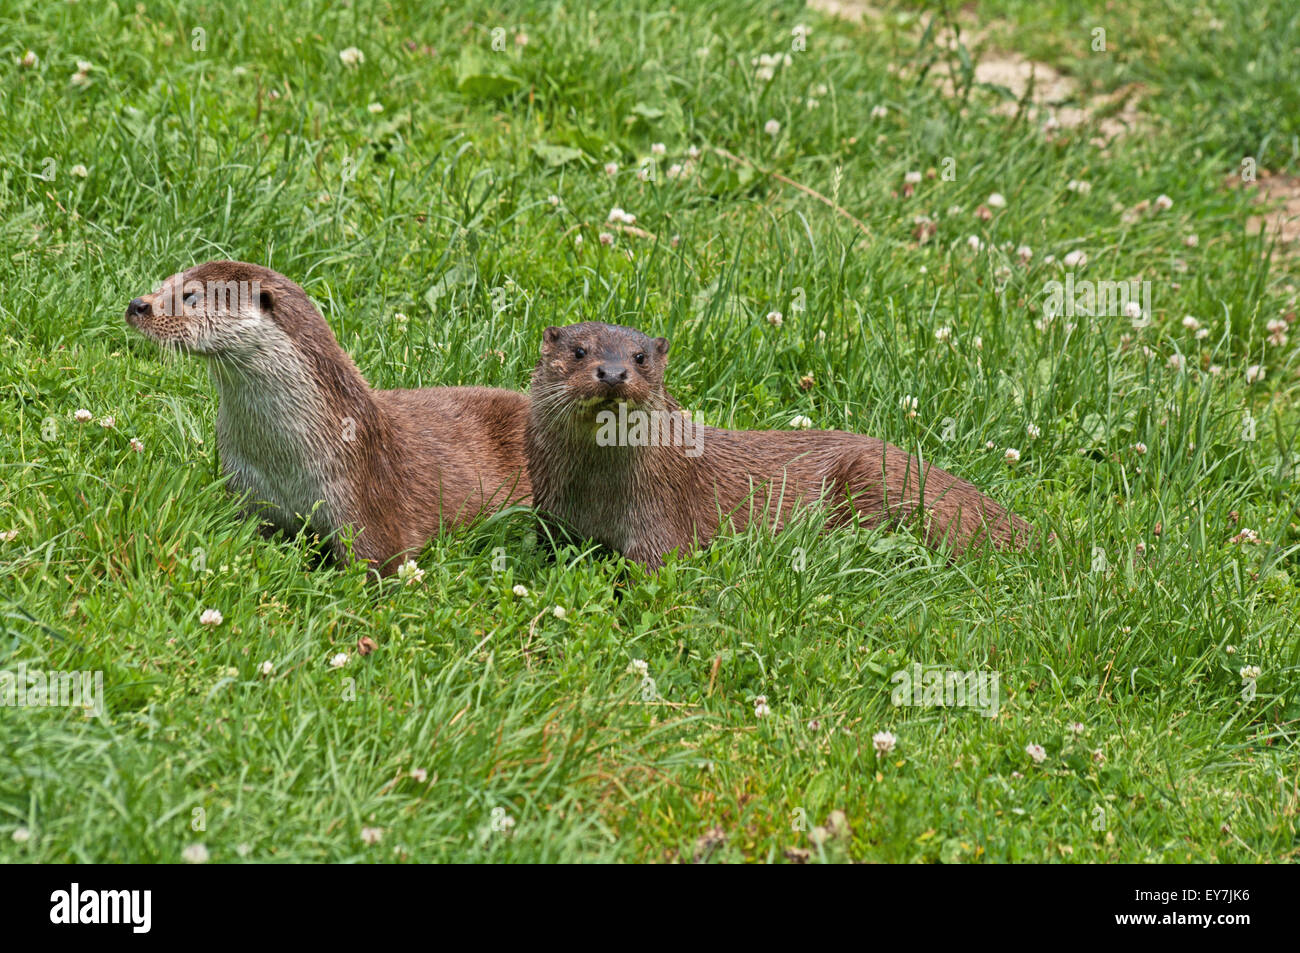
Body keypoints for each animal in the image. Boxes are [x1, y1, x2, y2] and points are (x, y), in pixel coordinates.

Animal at [126, 261, 530, 575]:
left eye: (190, 296)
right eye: (163, 283)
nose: (137, 304)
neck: (283, 464)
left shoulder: (364, 499)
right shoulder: (246, 490)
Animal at [524, 321, 1031, 570]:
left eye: (640, 357)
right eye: (579, 352)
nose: (613, 373)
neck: (598, 497)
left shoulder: (661, 517)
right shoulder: (552, 515)